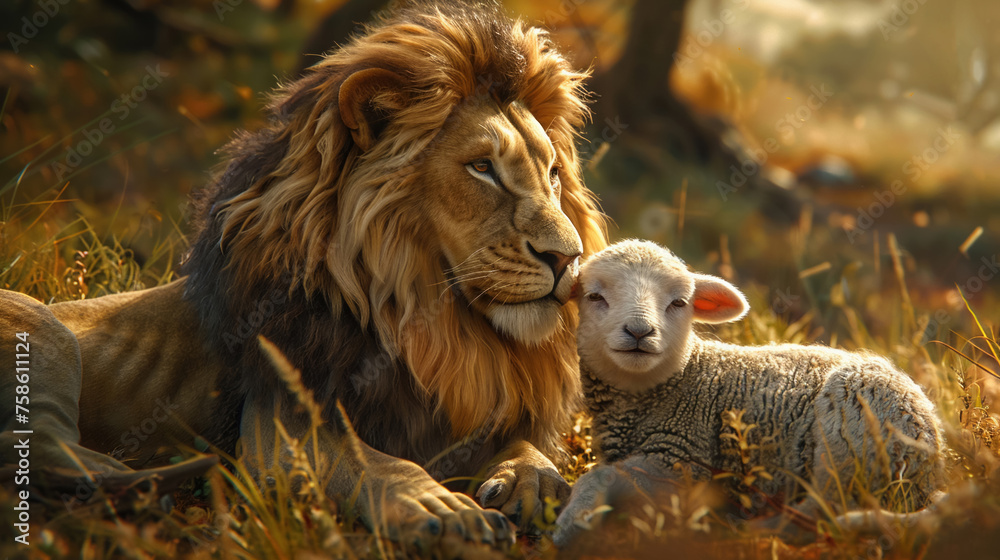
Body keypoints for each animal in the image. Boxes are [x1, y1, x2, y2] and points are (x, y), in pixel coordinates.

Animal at [0, 0, 606, 553]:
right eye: (481, 168)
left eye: (553, 173)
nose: (568, 258)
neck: (428, 325)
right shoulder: (278, 429)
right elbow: (373, 462)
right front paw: (441, 510)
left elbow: (528, 451)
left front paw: (539, 485)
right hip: (40, 327)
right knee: (41, 451)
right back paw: (153, 484)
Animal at [555, 239, 945, 544]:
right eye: (594, 296)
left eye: (679, 303)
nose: (639, 332)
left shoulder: (680, 459)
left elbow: (600, 474)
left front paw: (571, 522)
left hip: (855, 435)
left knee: (825, 513)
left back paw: (752, 528)